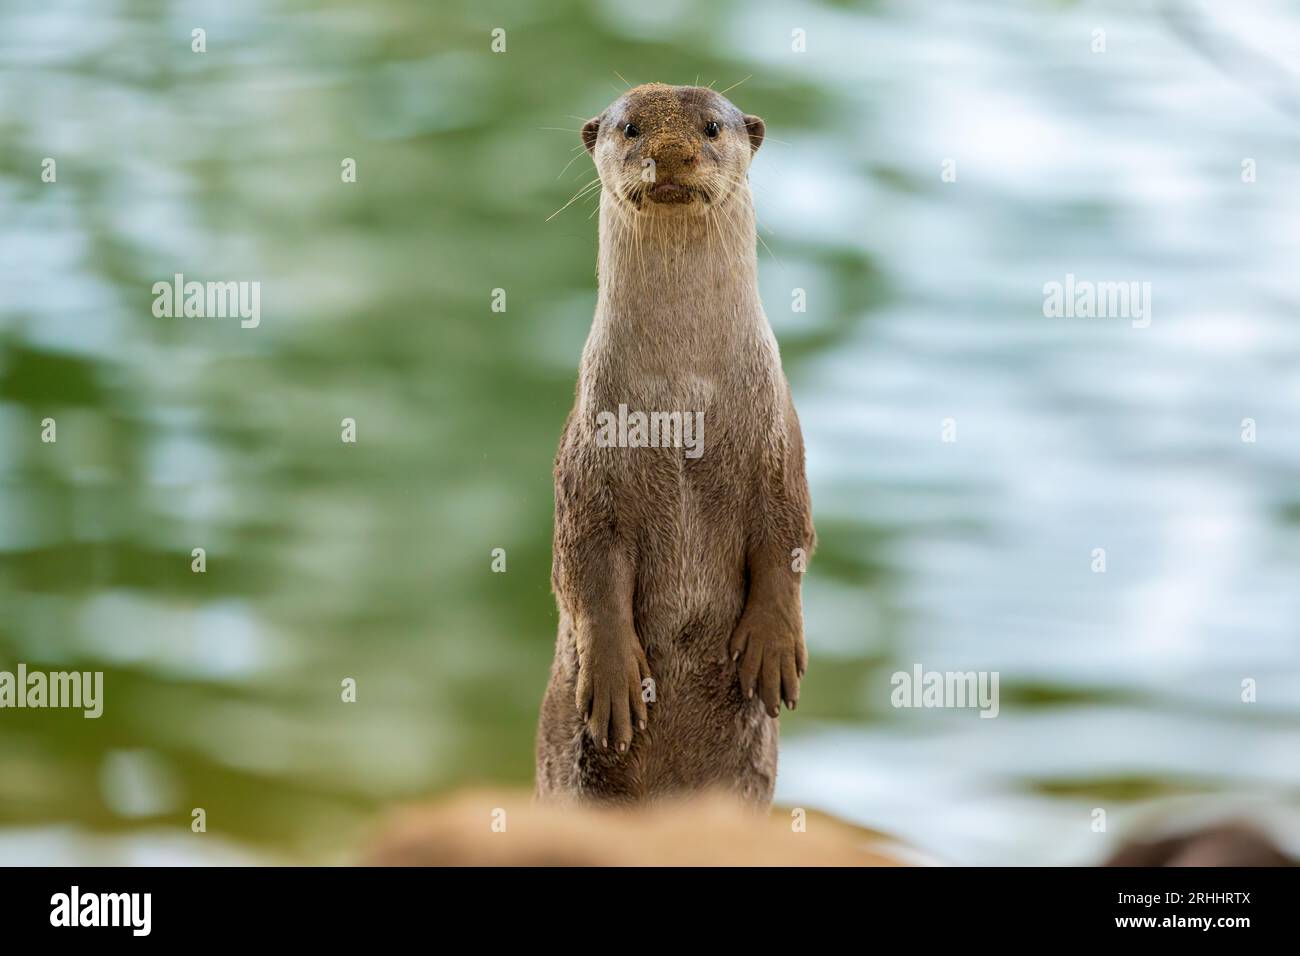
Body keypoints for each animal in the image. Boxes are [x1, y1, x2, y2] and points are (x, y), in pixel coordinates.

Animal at [535, 83, 814, 807]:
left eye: (712, 127)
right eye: (631, 128)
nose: (670, 153)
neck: (685, 405)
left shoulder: (780, 448)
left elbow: (789, 538)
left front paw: (773, 648)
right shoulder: (590, 468)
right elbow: (585, 567)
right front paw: (613, 680)